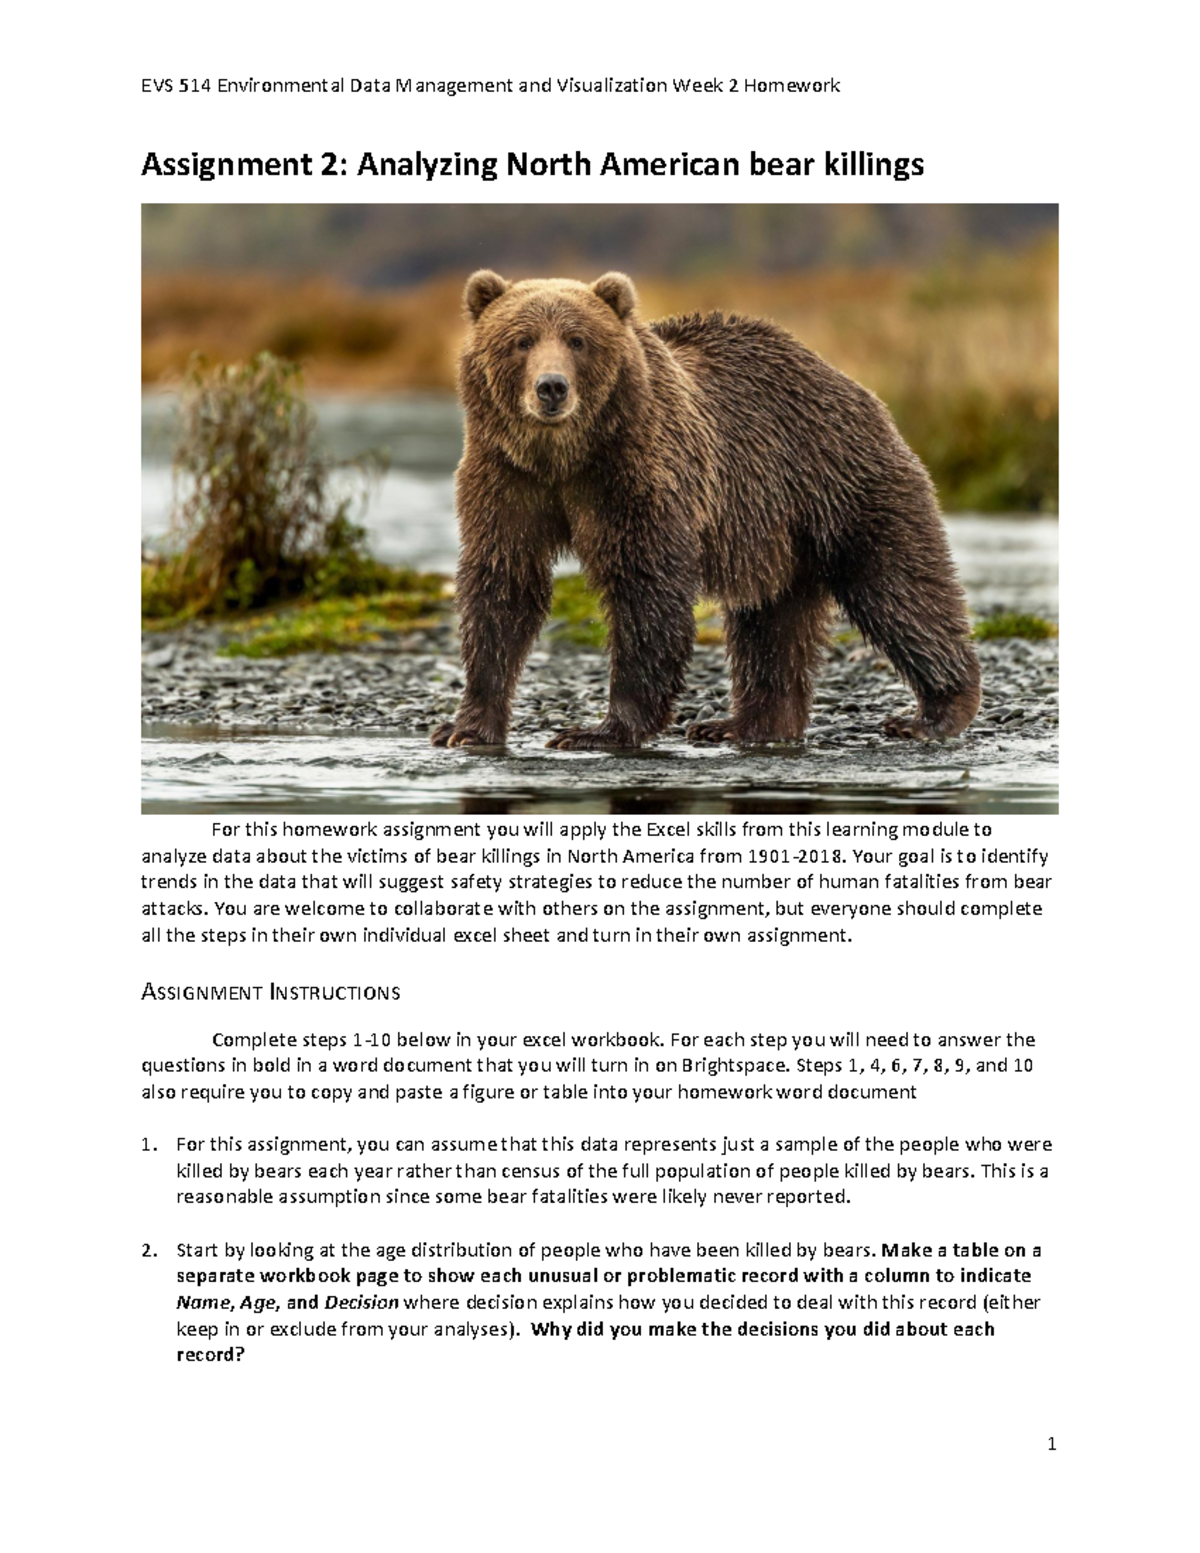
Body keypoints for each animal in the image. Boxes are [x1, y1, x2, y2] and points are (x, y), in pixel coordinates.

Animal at [431, 270, 981, 752]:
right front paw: (465, 728)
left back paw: (932, 712)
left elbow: (645, 588)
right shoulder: (506, 478)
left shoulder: (636, 476)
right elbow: (503, 586)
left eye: (578, 340)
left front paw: (598, 730)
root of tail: (847, 381)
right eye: (521, 340)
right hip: (776, 533)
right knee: (770, 622)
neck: (565, 457)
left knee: (898, 587)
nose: (551, 387)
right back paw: (743, 724)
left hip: (839, 480)